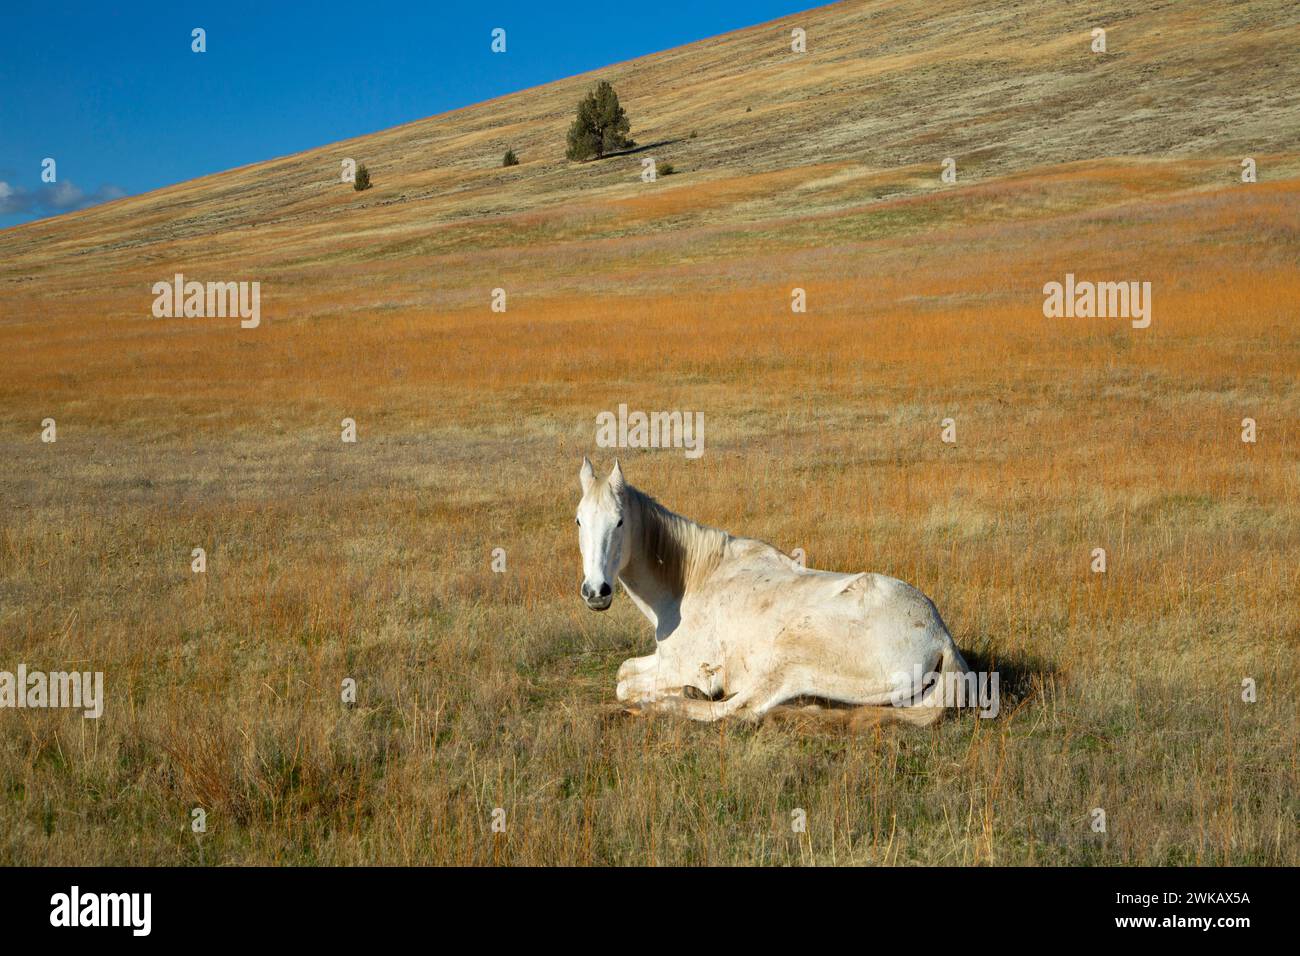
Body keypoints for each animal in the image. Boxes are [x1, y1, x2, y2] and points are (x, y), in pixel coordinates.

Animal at [575, 457, 971, 727]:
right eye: (579, 520)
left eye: (620, 521)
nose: (596, 591)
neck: (690, 584)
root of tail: (942, 640)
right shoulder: (664, 659)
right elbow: (625, 671)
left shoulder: (687, 667)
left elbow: (625, 684)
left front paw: (673, 693)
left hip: (789, 660)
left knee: (738, 709)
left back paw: (665, 705)